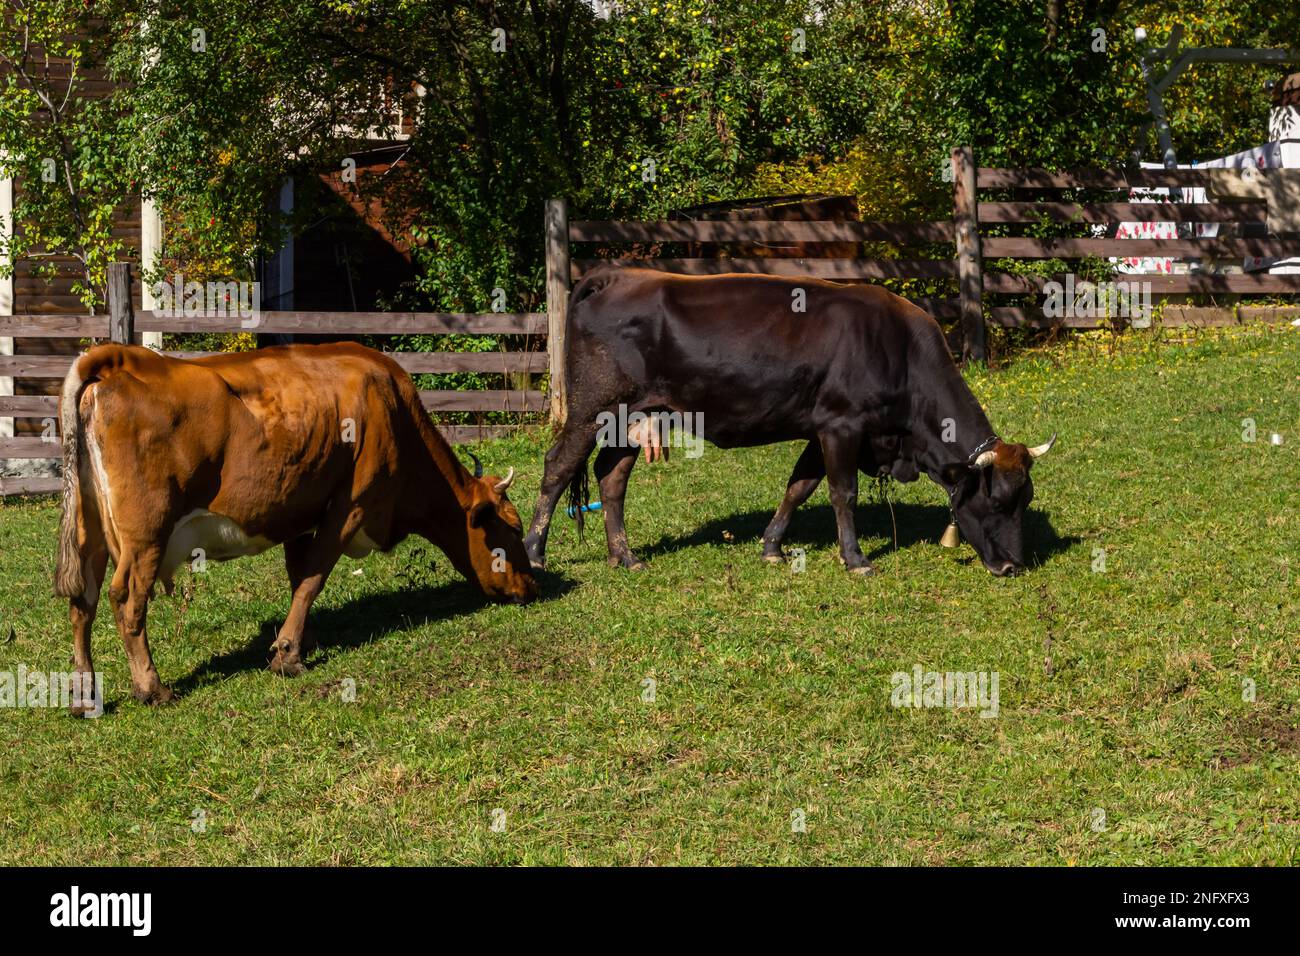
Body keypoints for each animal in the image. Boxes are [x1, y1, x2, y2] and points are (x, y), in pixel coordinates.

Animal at [53, 342, 537, 708]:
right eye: (512, 529)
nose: (532, 587)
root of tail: (121, 358)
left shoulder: (301, 510)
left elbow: (298, 576)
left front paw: (302, 639)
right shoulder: (351, 505)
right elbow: (313, 577)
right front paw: (287, 656)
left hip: (90, 529)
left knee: (83, 601)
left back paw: (84, 694)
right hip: (146, 535)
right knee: (126, 601)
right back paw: (152, 688)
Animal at [524, 267, 1056, 577]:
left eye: (1026, 498)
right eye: (997, 500)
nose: (1014, 566)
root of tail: (617, 275)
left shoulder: (819, 430)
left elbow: (799, 487)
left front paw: (772, 547)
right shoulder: (842, 425)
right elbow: (843, 493)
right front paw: (855, 559)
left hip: (635, 415)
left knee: (611, 476)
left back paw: (625, 555)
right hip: (592, 409)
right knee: (557, 467)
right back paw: (532, 552)